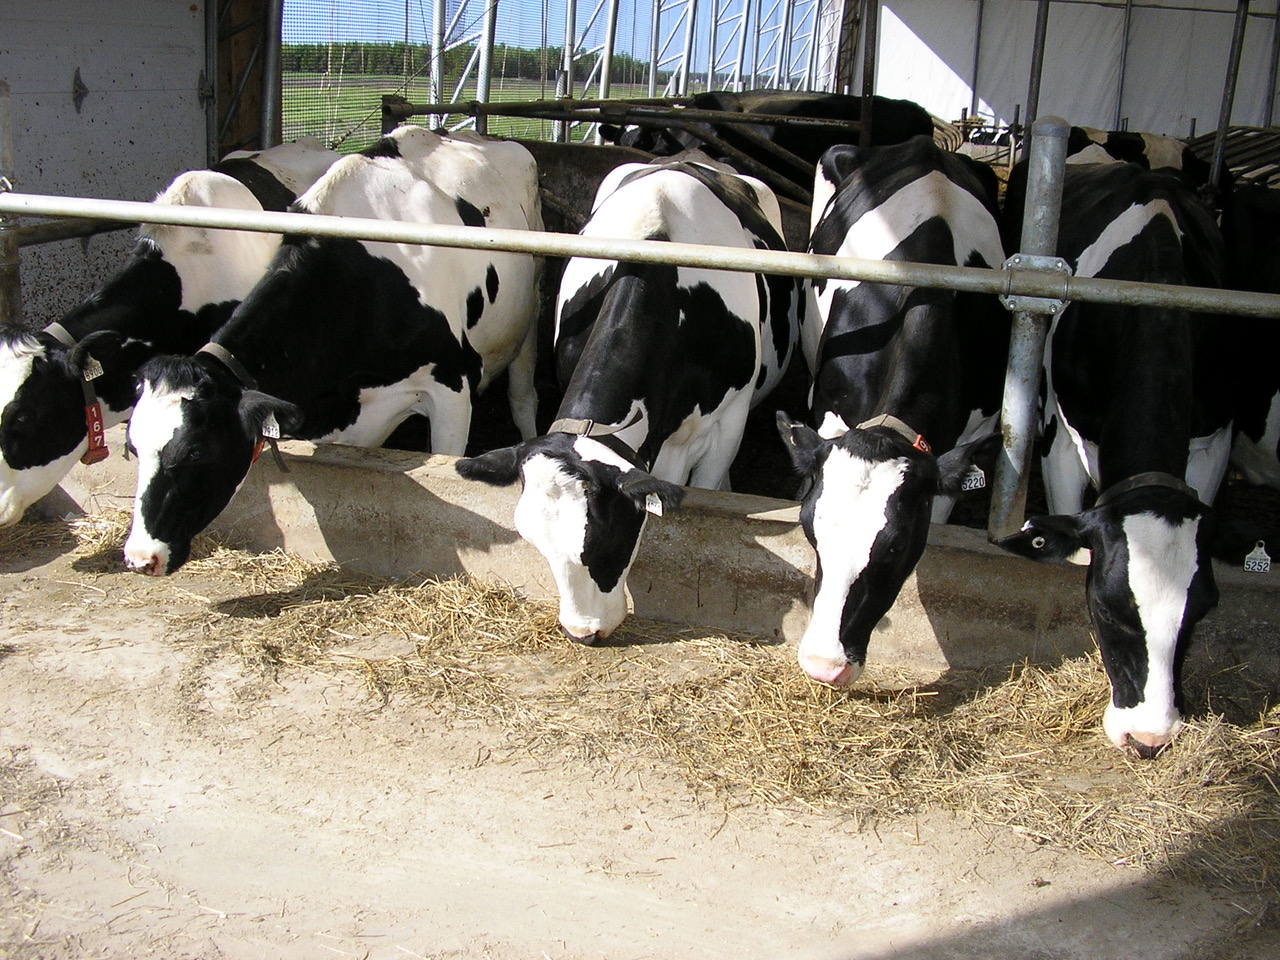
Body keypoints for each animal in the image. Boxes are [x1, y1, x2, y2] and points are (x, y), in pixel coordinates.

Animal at [122, 125, 543, 576]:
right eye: (132, 447)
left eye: (195, 451)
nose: (139, 557)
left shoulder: (452, 389)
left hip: (528, 320)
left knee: (522, 398)